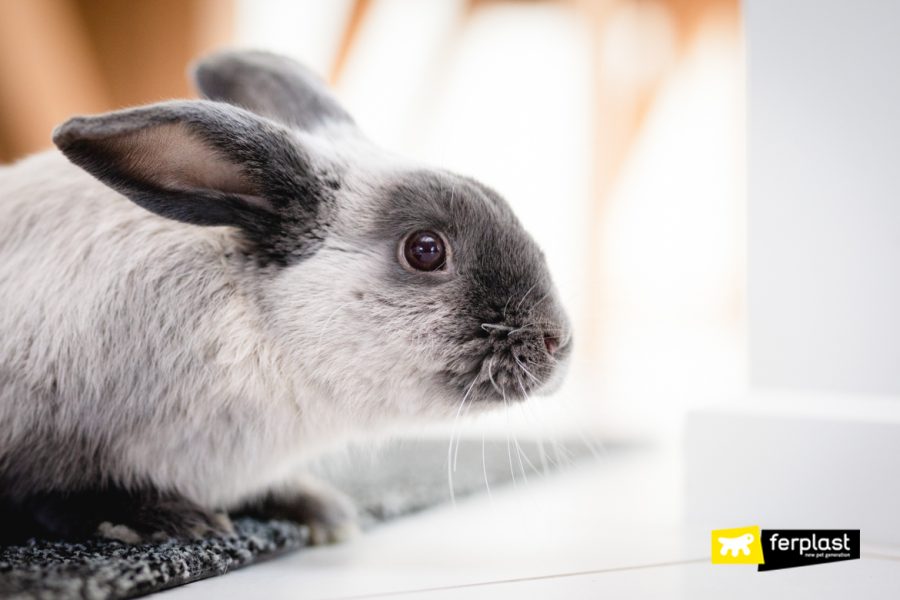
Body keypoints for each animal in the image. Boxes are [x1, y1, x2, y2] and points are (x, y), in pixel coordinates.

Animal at [0, 50, 572, 544]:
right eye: (426, 250)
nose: (558, 343)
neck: (254, 324)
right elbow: (55, 497)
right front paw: (172, 521)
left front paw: (321, 511)